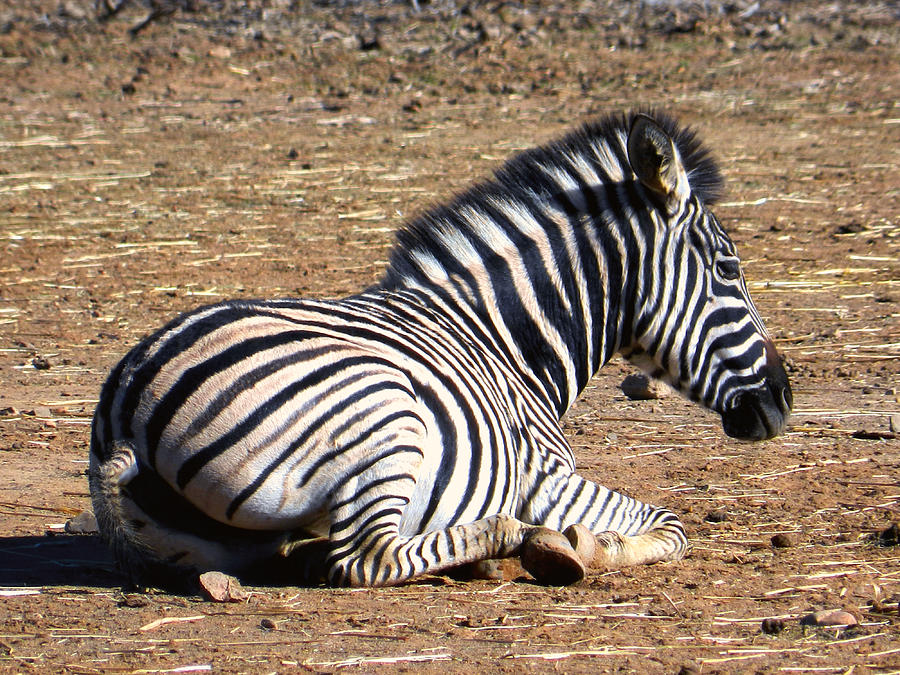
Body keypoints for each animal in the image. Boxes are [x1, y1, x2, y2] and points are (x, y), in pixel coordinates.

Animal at [89, 110, 792, 589]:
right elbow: (671, 526)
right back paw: (510, 538)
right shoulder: (544, 478)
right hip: (384, 413)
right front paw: (584, 546)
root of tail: (125, 405)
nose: (784, 400)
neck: (508, 341)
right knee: (365, 558)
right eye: (729, 270)